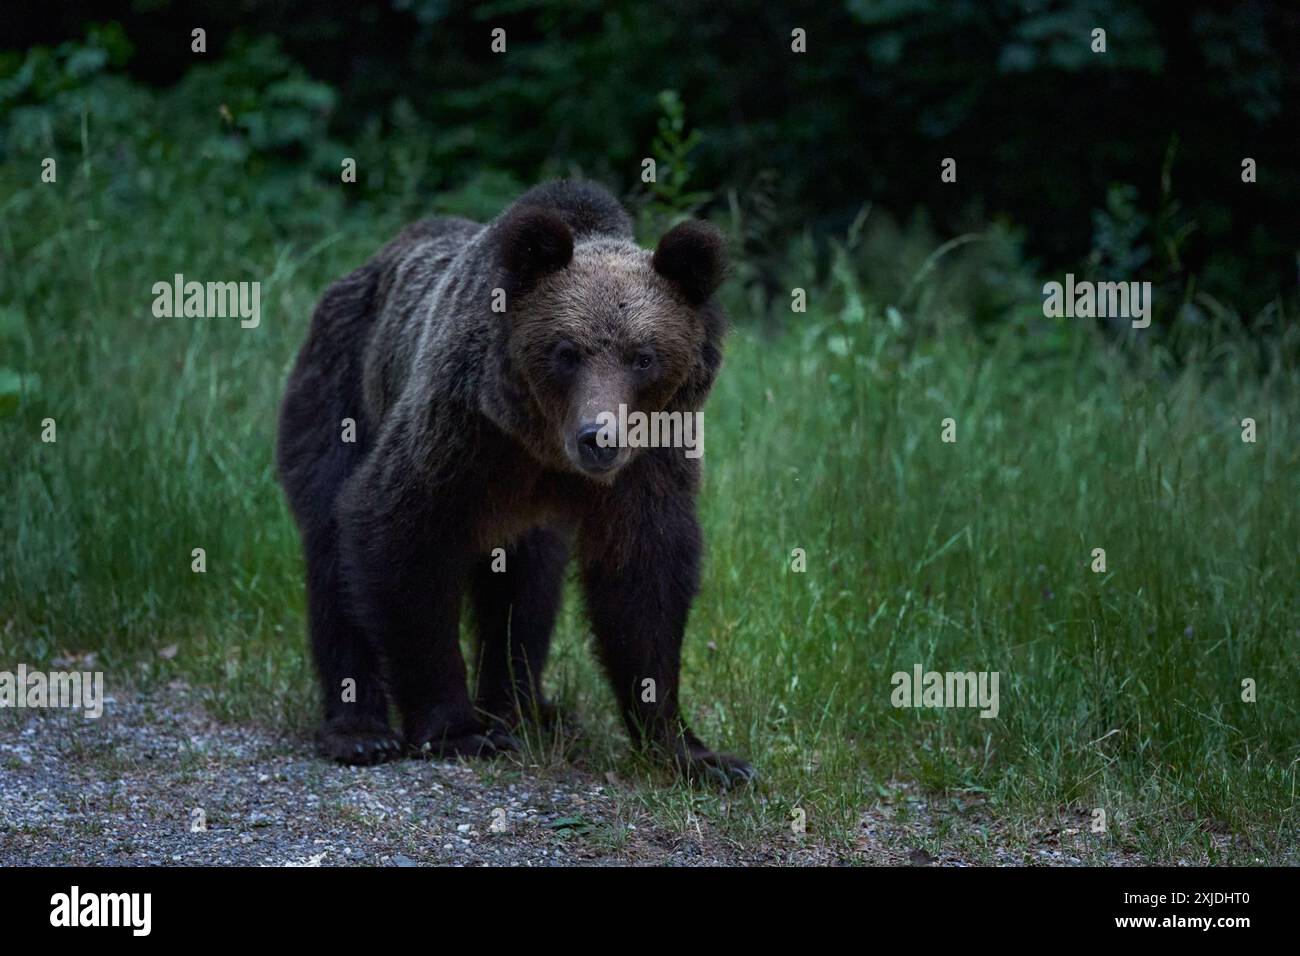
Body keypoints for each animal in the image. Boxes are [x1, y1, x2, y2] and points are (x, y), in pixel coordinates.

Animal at [275, 180, 752, 786]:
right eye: (566, 352)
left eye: (643, 357)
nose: (600, 438)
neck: (543, 449)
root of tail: (363, 268)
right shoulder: (460, 431)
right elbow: (395, 532)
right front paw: (456, 729)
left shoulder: (648, 460)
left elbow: (645, 576)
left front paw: (696, 753)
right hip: (339, 389)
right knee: (330, 544)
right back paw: (360, 730)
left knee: (529, 587)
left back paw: (527, 710)